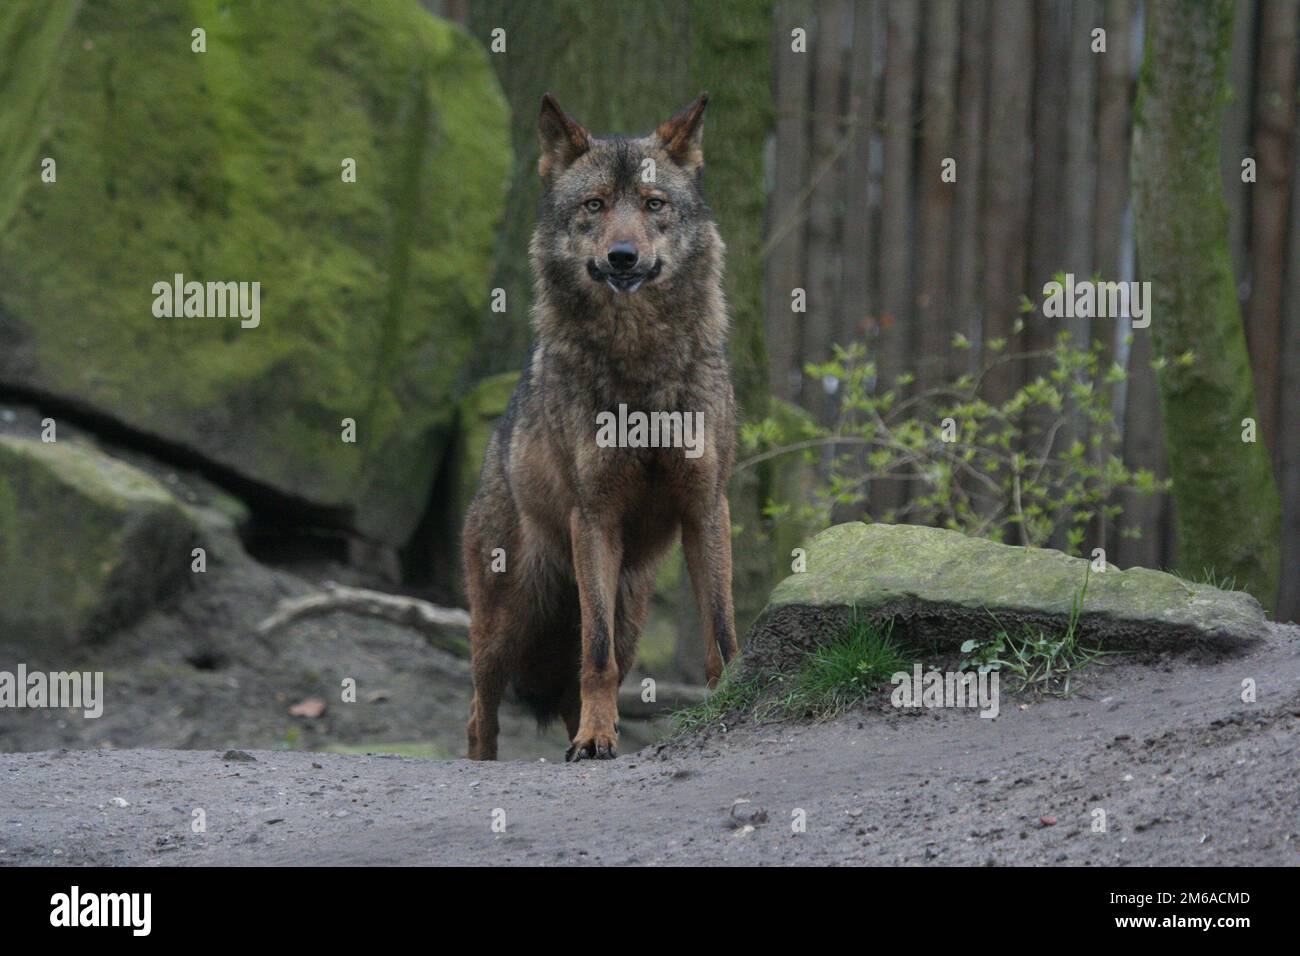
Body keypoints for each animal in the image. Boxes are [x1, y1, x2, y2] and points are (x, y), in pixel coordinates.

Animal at [462, 92, 739, 761]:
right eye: (594, 206)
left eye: (653, 204)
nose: (622, 257)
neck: (640, 368)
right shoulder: (593, 518)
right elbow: (598, 656)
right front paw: (596, 737)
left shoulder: (707, 508)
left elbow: (720, 633)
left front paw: (733, 697)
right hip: (507, 622)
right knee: (481, 714)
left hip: (630, 613)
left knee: (569, 687)